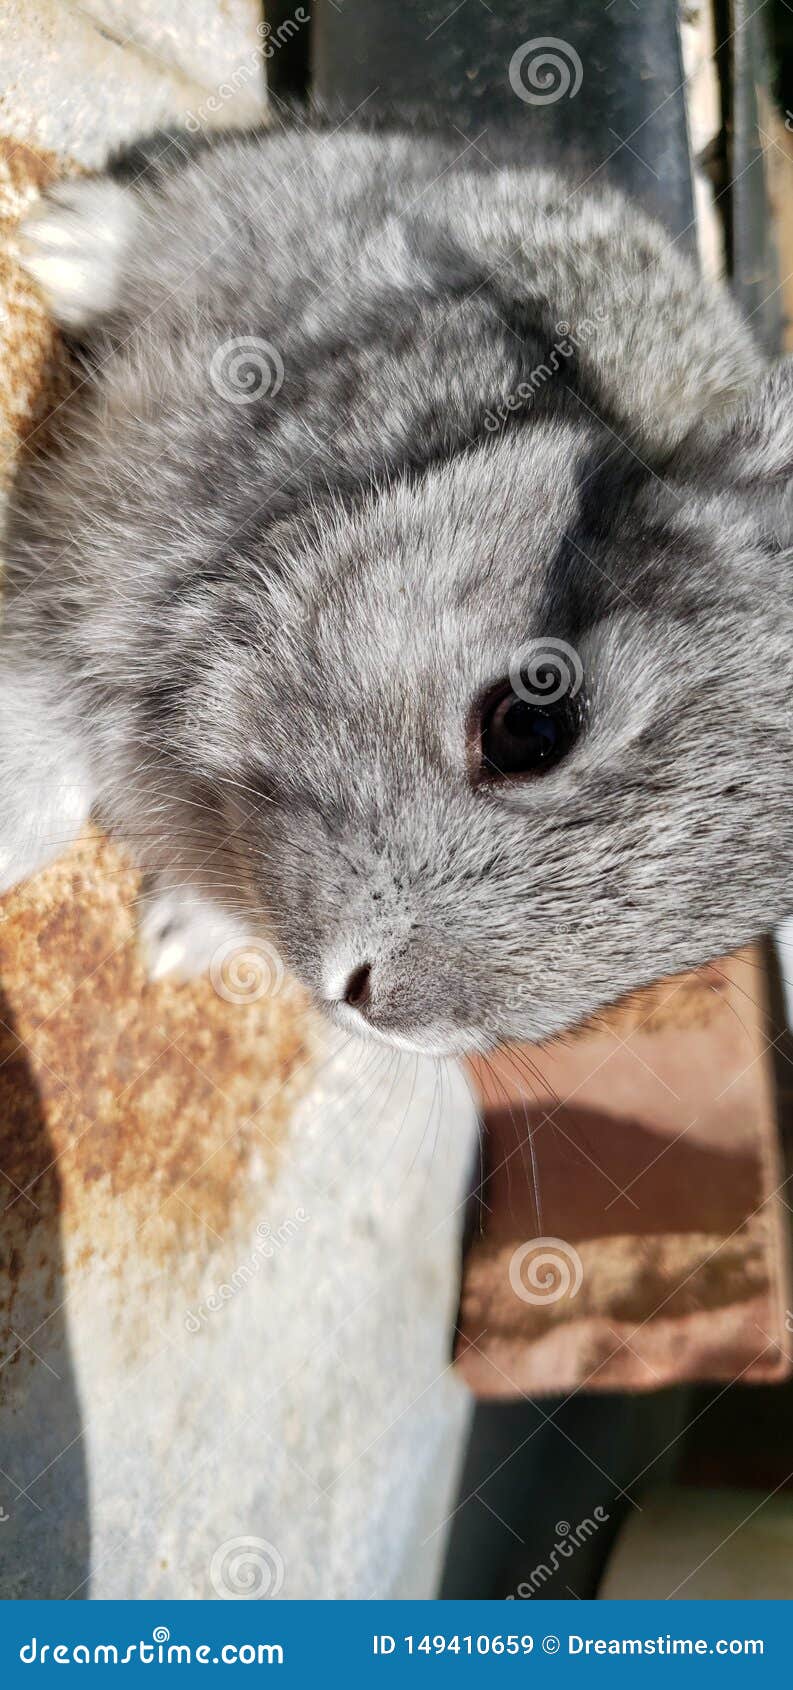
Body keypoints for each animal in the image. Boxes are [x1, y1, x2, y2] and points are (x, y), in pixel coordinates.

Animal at [2, 117, 792, 1056]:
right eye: (529, 725)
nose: (381, 1003)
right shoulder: (93, 572)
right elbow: (39, 753)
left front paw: (181, 943)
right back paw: (67, 241)